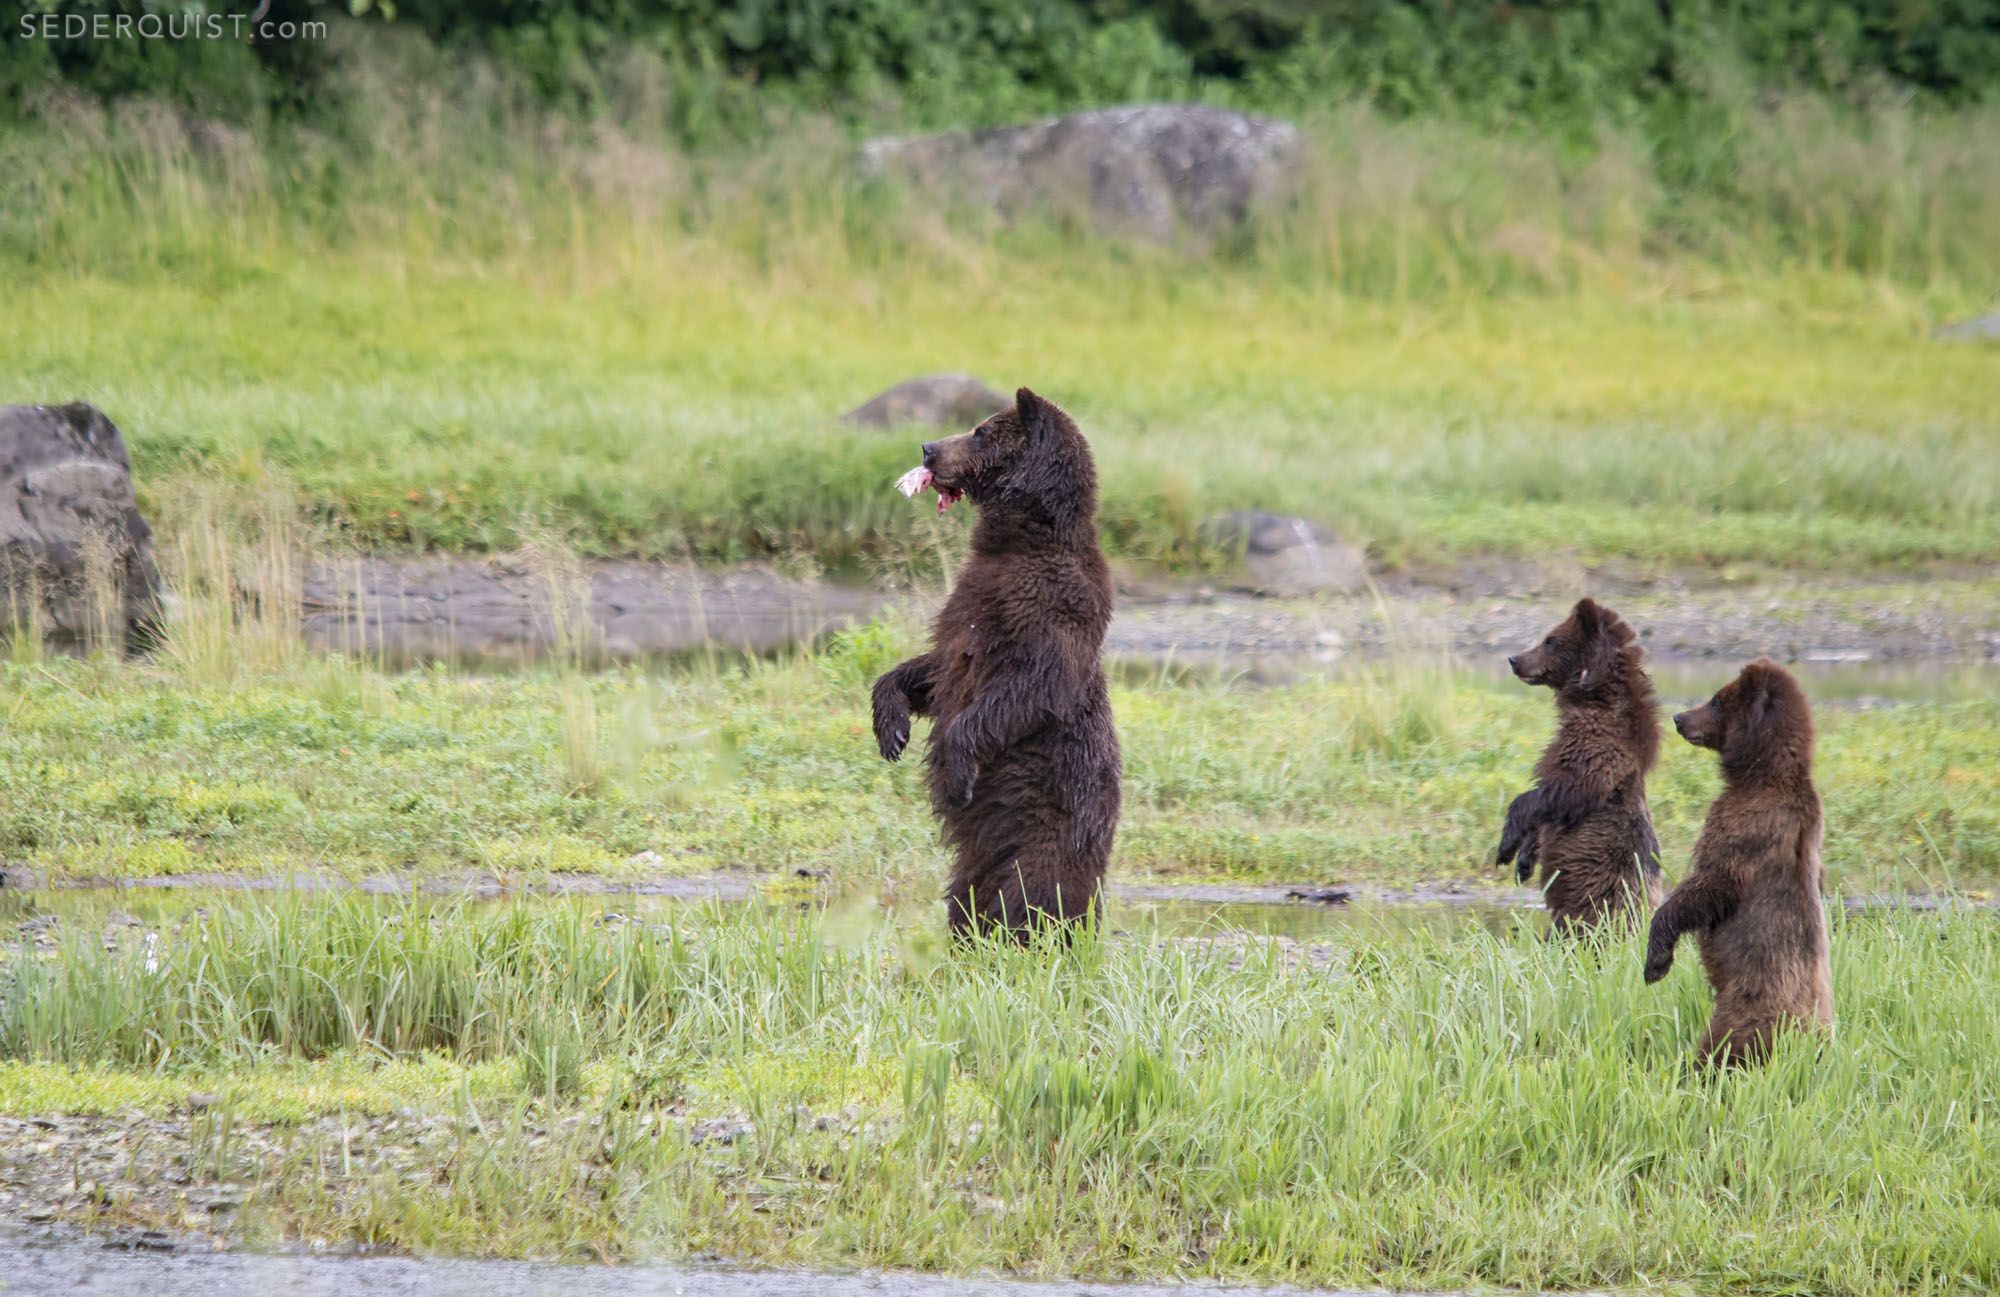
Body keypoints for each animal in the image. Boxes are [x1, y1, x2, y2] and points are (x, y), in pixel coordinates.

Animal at [871, 388, 1121, 940]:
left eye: (980, 432)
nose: (928, 447)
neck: (1023, 537)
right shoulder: (968, 606)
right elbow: (934, 670)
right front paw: (892, 729)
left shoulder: (1048, 606)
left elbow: (1029, 687)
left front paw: (957, 772)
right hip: (980, 858)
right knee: (969, 894)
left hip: (1047, 827)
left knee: (1034, 893)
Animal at [1495, 598, 1664, 933]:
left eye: (1550, 641)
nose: (1514, 659)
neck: (1593, 696)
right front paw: (1523, 861)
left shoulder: (1598, 743)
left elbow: (1567, 788)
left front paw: (1506, 847)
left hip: (1604, 902)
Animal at [1644, 660, 1832, 1066]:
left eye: (1717, 701)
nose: (1679, 717)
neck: (1760, 775)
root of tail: (1809, 1042)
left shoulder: (1746, 827)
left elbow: (1711, 884)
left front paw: (1656, 961)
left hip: (1744, 1012)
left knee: (1720, 1047)